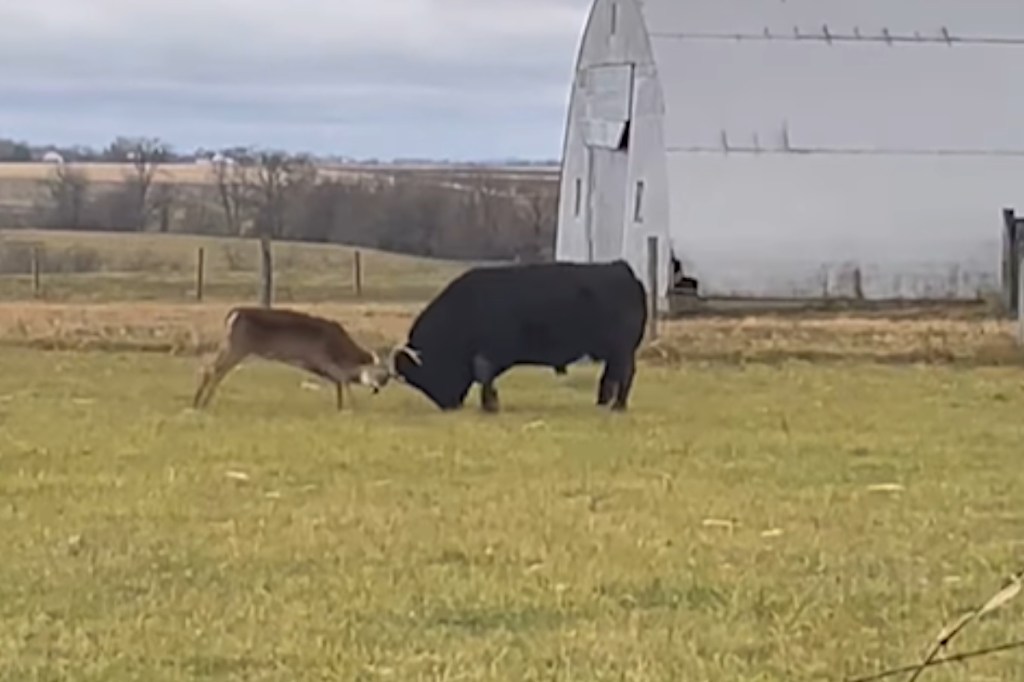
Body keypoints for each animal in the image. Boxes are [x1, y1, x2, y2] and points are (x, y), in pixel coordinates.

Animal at [192, 306, 421, 411]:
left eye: (388, 377)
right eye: (380, 373)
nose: (378, 387)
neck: (341, 348)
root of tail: (233, 313)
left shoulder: (319, 366)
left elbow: (338, 382)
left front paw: (340, 406)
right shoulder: (323, 358)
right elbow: (343, 380)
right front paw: (352, 407)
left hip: (229, 346)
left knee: (210, 369)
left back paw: (198, 403)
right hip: (237, 348)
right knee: (214, 370)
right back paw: (201, 403)